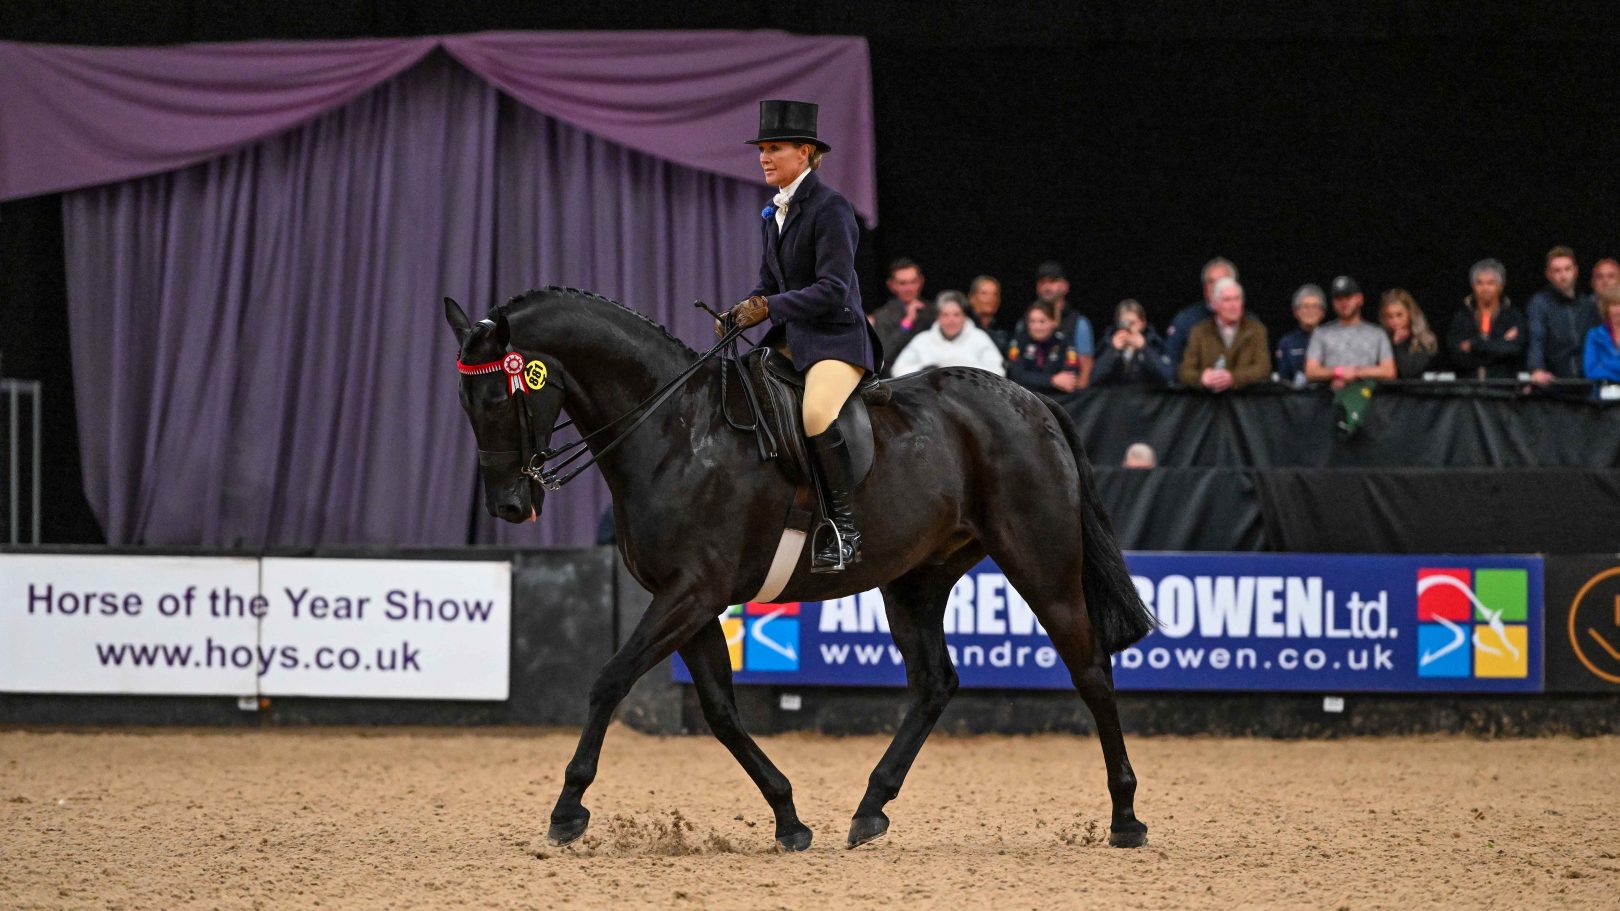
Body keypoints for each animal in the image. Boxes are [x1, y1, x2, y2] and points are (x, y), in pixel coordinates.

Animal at [444, 287, 1156, 852]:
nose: (509, 506)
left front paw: (568, 810)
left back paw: (1125, 817)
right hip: (915, 581)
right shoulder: (692, 601)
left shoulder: (689, 593)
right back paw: (870, 808)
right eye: (464, 401)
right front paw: (788, 817)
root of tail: (1032, 402)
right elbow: (720, 712)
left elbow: (610, 680)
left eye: (499, 398)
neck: (673, 430)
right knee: (935, 683)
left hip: (1039, 560)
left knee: (1090, 669)